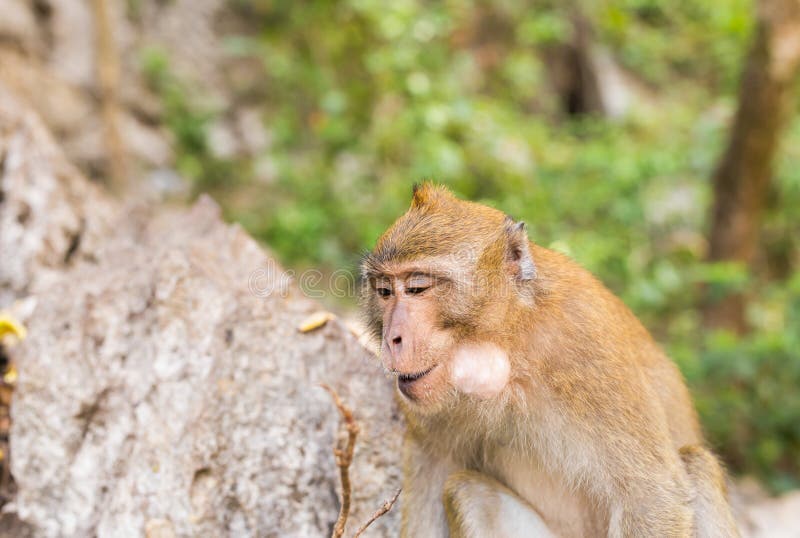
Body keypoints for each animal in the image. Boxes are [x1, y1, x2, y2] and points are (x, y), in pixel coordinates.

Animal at [360, 183, 739, 537]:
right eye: (384, 291)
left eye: (417, 288)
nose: (392, 339)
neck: (512, 347)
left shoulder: (587, 348)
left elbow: (651, 497)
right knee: (464, 490)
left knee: (696, 463)